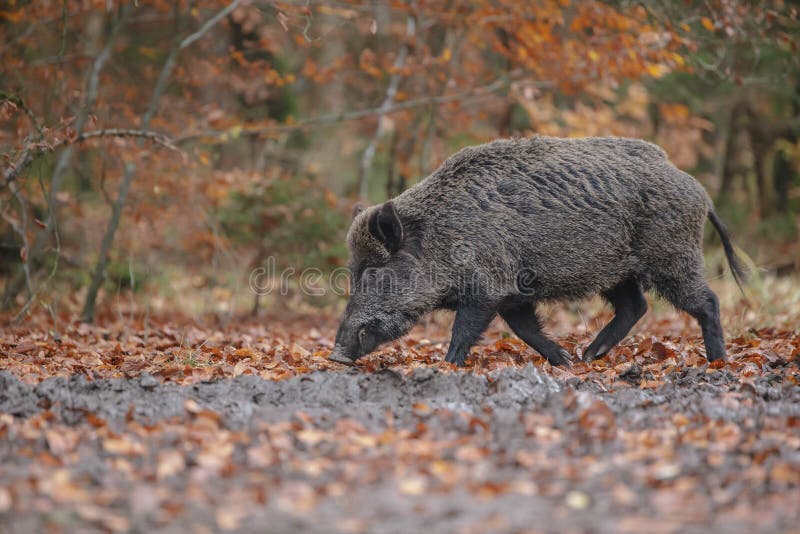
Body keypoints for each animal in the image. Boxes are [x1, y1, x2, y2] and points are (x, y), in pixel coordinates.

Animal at [329, 136, 745, 367]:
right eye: (352, 271)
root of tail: (698, 189)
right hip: (616, 270)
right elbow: (525, 328)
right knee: (635, 306)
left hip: (672, 255)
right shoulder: (513, 294)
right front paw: (564, 362)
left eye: (375, 271)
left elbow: (465, 331)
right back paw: (589, 356)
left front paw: (447, 366)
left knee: (706, 301)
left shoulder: (488, 287)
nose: (336, 355)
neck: (440, 235)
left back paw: (718, 362)